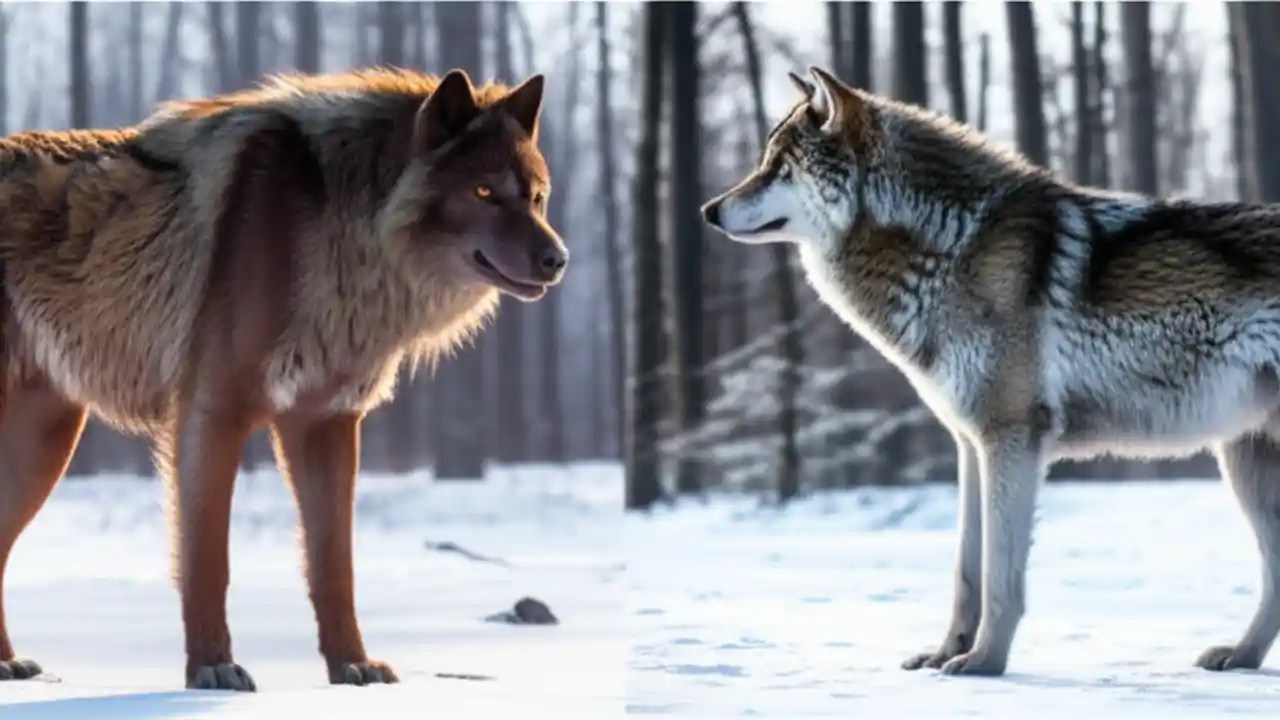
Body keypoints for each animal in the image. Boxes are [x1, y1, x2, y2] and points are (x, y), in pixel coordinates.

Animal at [0, 68, 567, 690]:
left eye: (538, 196)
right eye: (486, 193)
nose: (558, 259)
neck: (339, 228)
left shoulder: (326, 425)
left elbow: (334, 567)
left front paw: (352, 664)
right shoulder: (212, 413)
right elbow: (208, 562)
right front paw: (213, 666)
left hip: (46, 447)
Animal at [702, 65, 1280, 676]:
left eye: (777, 166)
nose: (709, 210)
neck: (951, 244)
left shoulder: (1011, 438)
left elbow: (1001, 574)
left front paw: (983, 661)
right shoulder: (969, 444)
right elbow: (966, 570)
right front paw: (945, 653)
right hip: (1244, 460)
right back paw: (1241, 654)